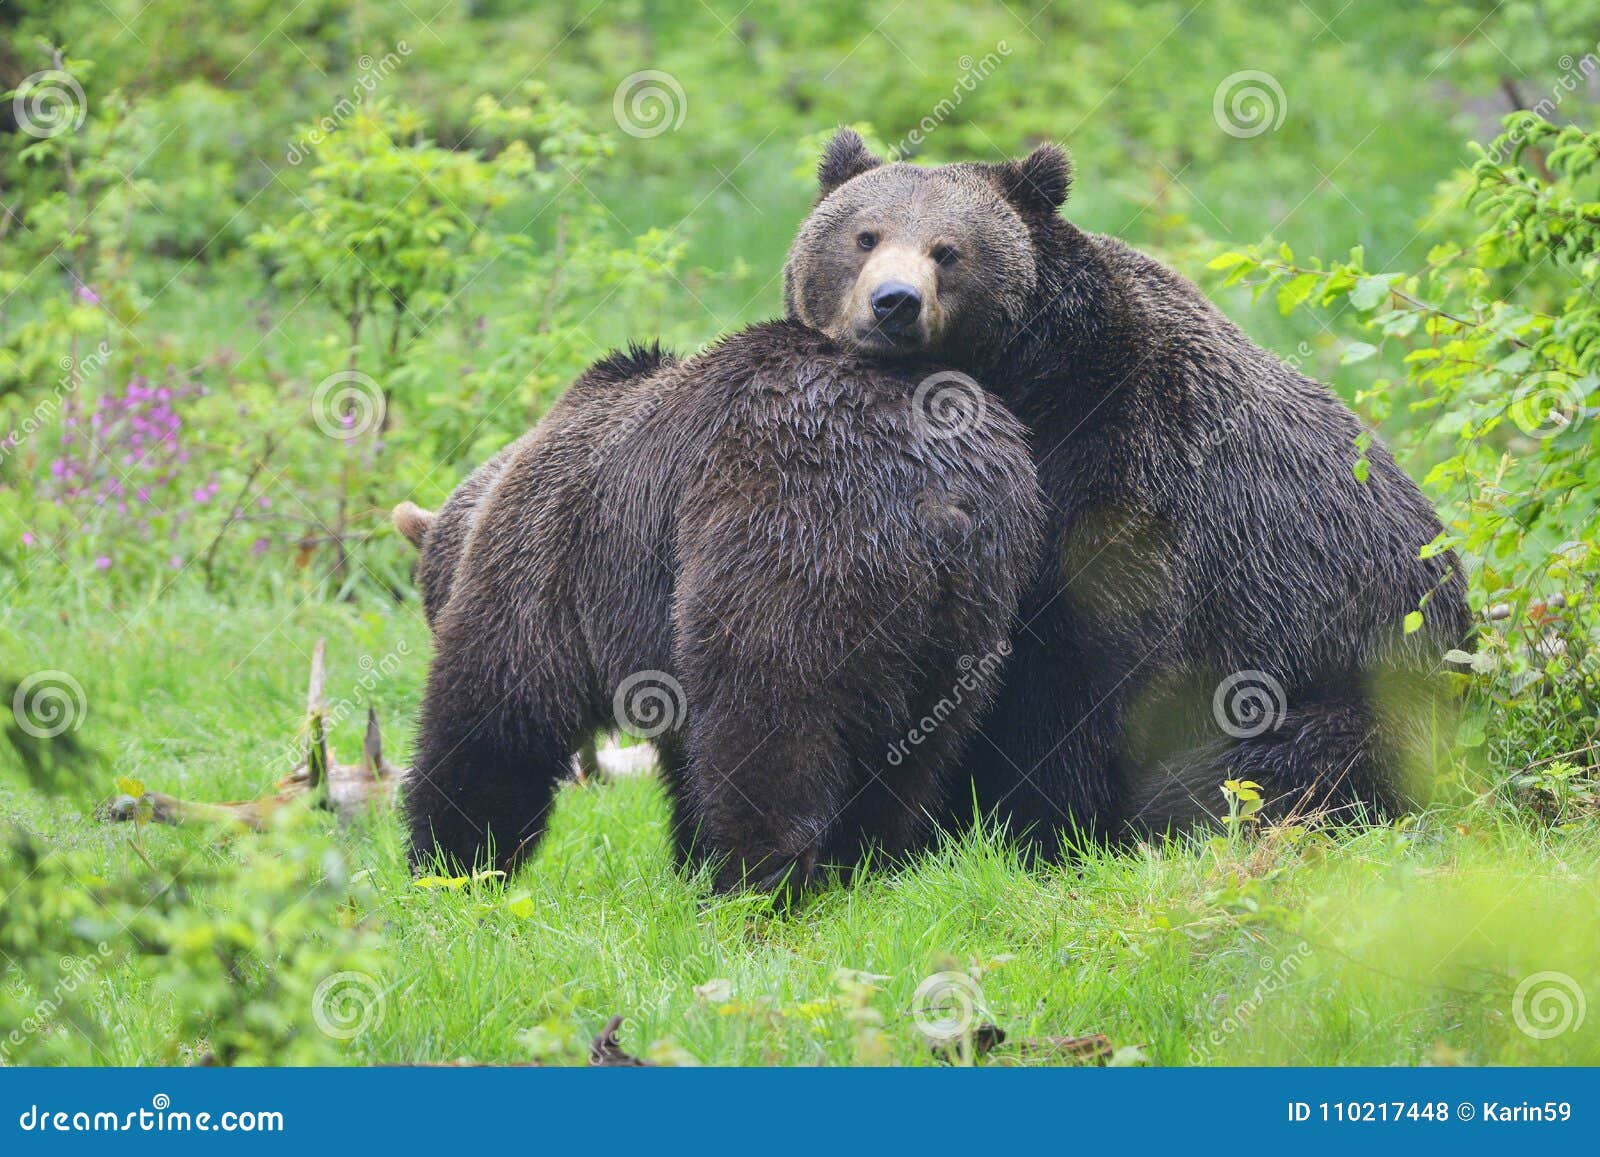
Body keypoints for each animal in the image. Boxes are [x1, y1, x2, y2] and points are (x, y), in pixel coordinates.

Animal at [400, 321, 1044, 892]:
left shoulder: (544, 563)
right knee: (915, 755)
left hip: (787, 534)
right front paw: (689, 853)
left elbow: (496, 719)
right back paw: (861, 865)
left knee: (766, 723)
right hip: (974, 609)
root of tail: (937, 498)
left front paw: (451, 868)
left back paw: (752, 881)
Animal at [783, 129, 1471, 858]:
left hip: (1362, 672)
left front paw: (1037, 825)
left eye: (949, 250)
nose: (894, 302)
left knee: (1263, 769)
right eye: (865, 235)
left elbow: (1084, 669)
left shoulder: (1126, 468)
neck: (1028, 380)